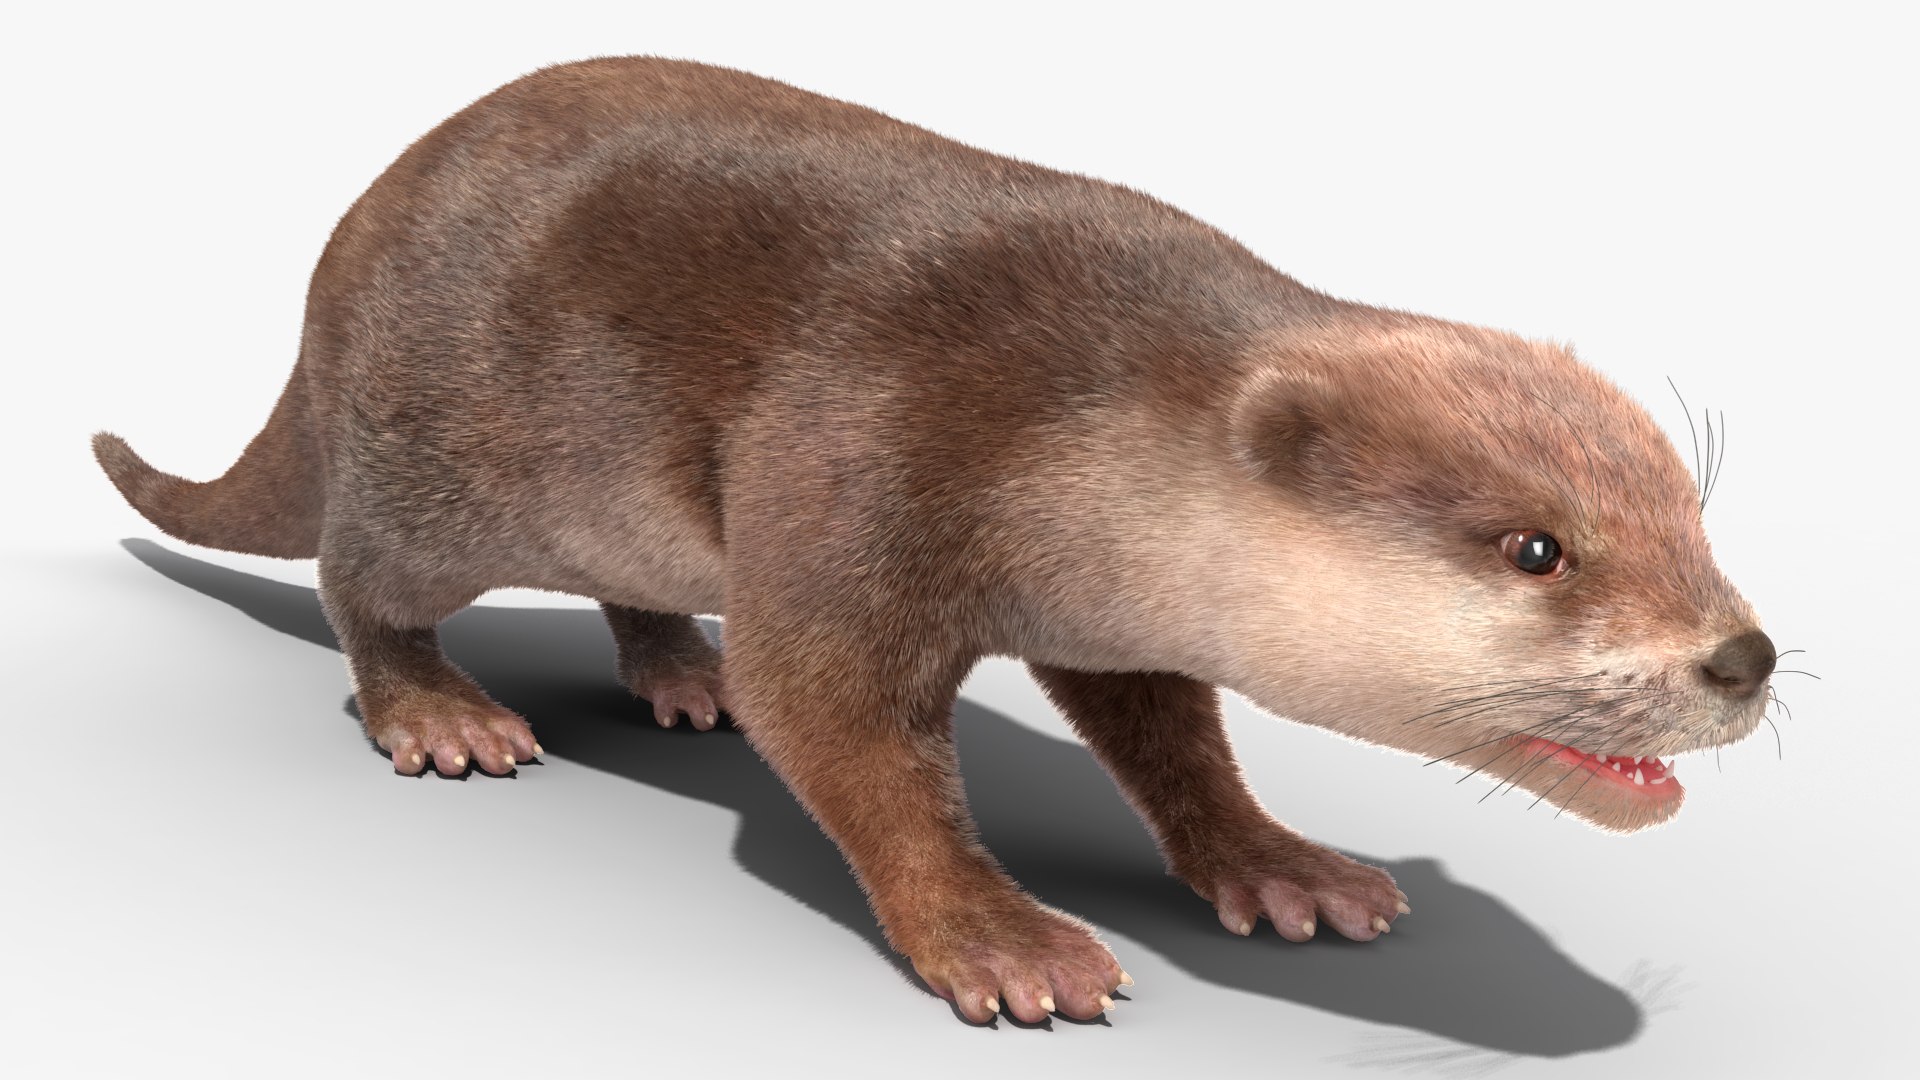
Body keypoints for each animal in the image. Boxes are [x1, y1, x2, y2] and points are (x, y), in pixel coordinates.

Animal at [92, 57, 1773, 1024]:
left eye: (1693, 515)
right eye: (1537, 550)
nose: (1744, 656)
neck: (1076, 402)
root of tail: (343, 254)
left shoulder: (1114, 604)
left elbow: (1170, 734)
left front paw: (1280, 865)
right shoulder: (862, 457)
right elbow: (837, 720)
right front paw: (1002, 942)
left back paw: (678, 678)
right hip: (432, 457)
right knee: (358, 577)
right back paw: (443, 714)